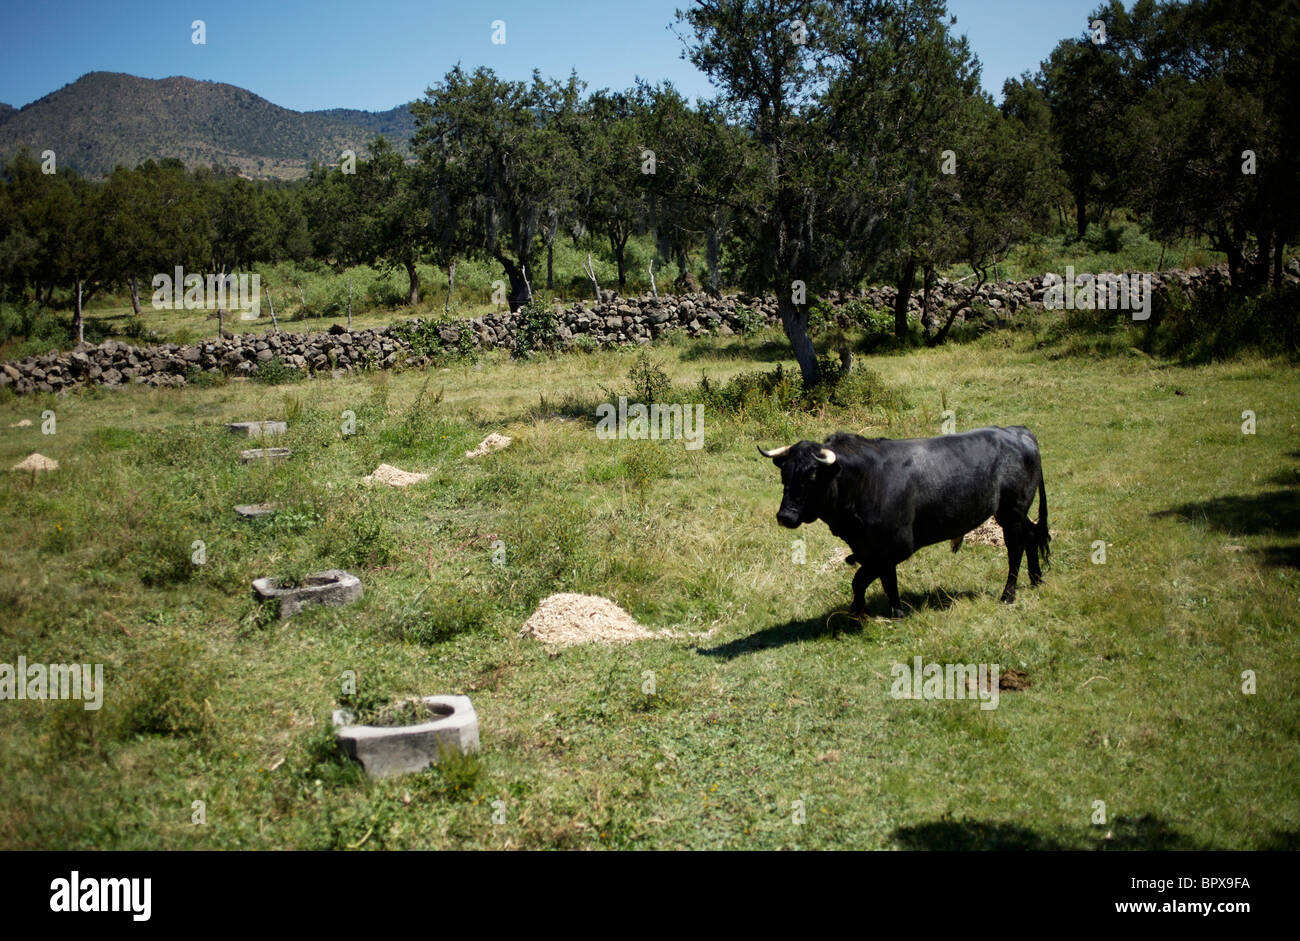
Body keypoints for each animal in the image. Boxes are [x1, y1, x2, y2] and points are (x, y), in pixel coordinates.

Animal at [759, 426, 1049, 618]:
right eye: (785, 475)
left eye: (811, 477)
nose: (785, 516)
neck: (865, 480)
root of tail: (1019, 432)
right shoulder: (871, 550)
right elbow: (882, 580)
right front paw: (870, 610)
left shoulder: (898, 546)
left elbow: (864, 578)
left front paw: (881, 612)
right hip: (1016, 514)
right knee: (1033, 534)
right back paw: (1036, 580)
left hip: (1011, 513)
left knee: (1015, 549)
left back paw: (1008, 595)